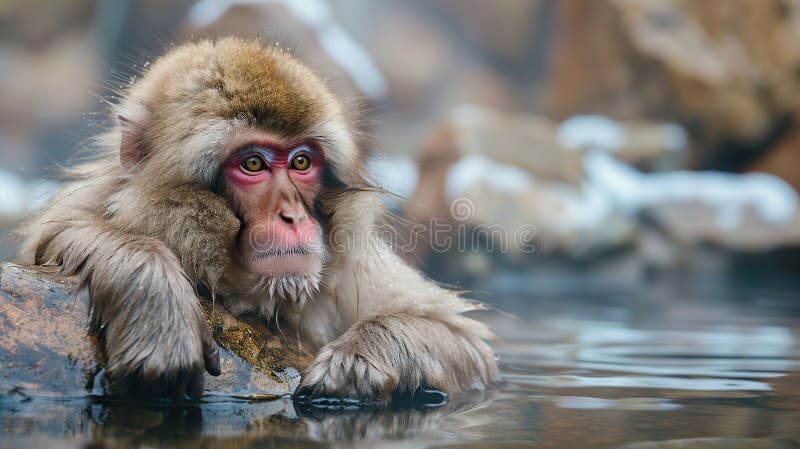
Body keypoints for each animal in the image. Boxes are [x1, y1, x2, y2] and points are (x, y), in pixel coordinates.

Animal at [17, 38, 499, 402]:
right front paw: (158, 300)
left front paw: (358, 360)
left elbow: (467, 344)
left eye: (301, 161)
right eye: (253, 164)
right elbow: (60, 237)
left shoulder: (348, 275)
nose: (292, 216)